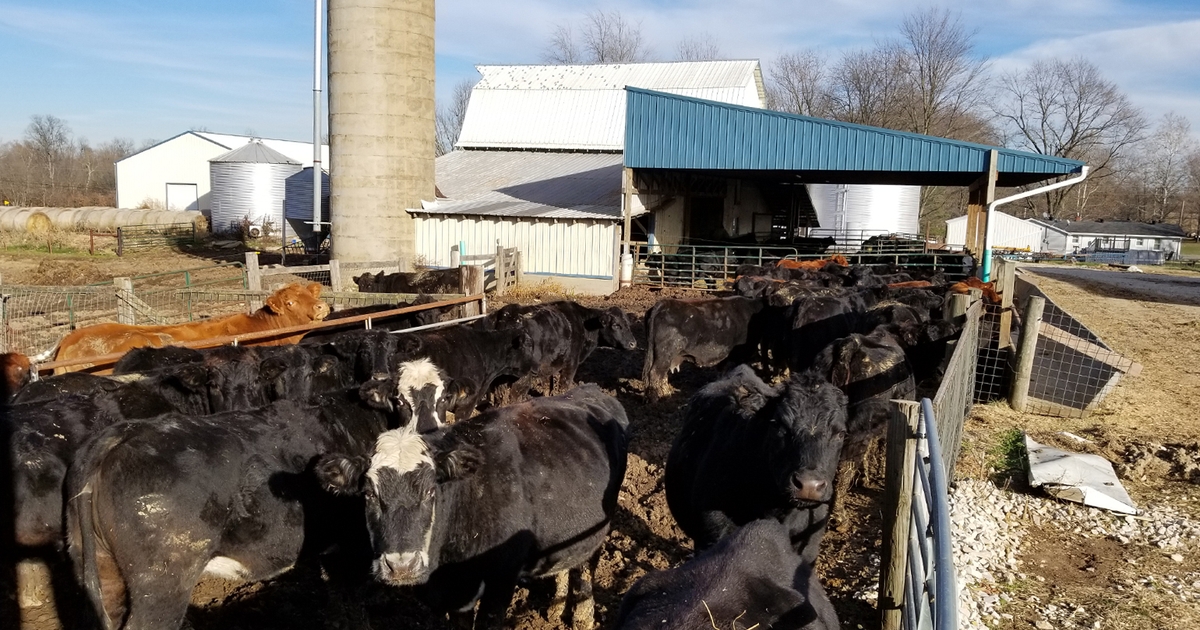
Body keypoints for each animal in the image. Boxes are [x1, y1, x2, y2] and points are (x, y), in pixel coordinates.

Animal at [315, 384, 629, 629]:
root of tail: (591, 390)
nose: (401, 566)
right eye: (369, 494)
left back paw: (582, 618)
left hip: (600, 525)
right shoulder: (456, 595)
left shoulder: (502, 579)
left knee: (586, 566)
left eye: (430, 491)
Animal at [480, 301, 637, 395]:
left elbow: (547, 386)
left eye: (628, 324)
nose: (633, 343)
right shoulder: (571, 364)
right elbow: (564, 385)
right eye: (616, 325)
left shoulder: (548, 365)